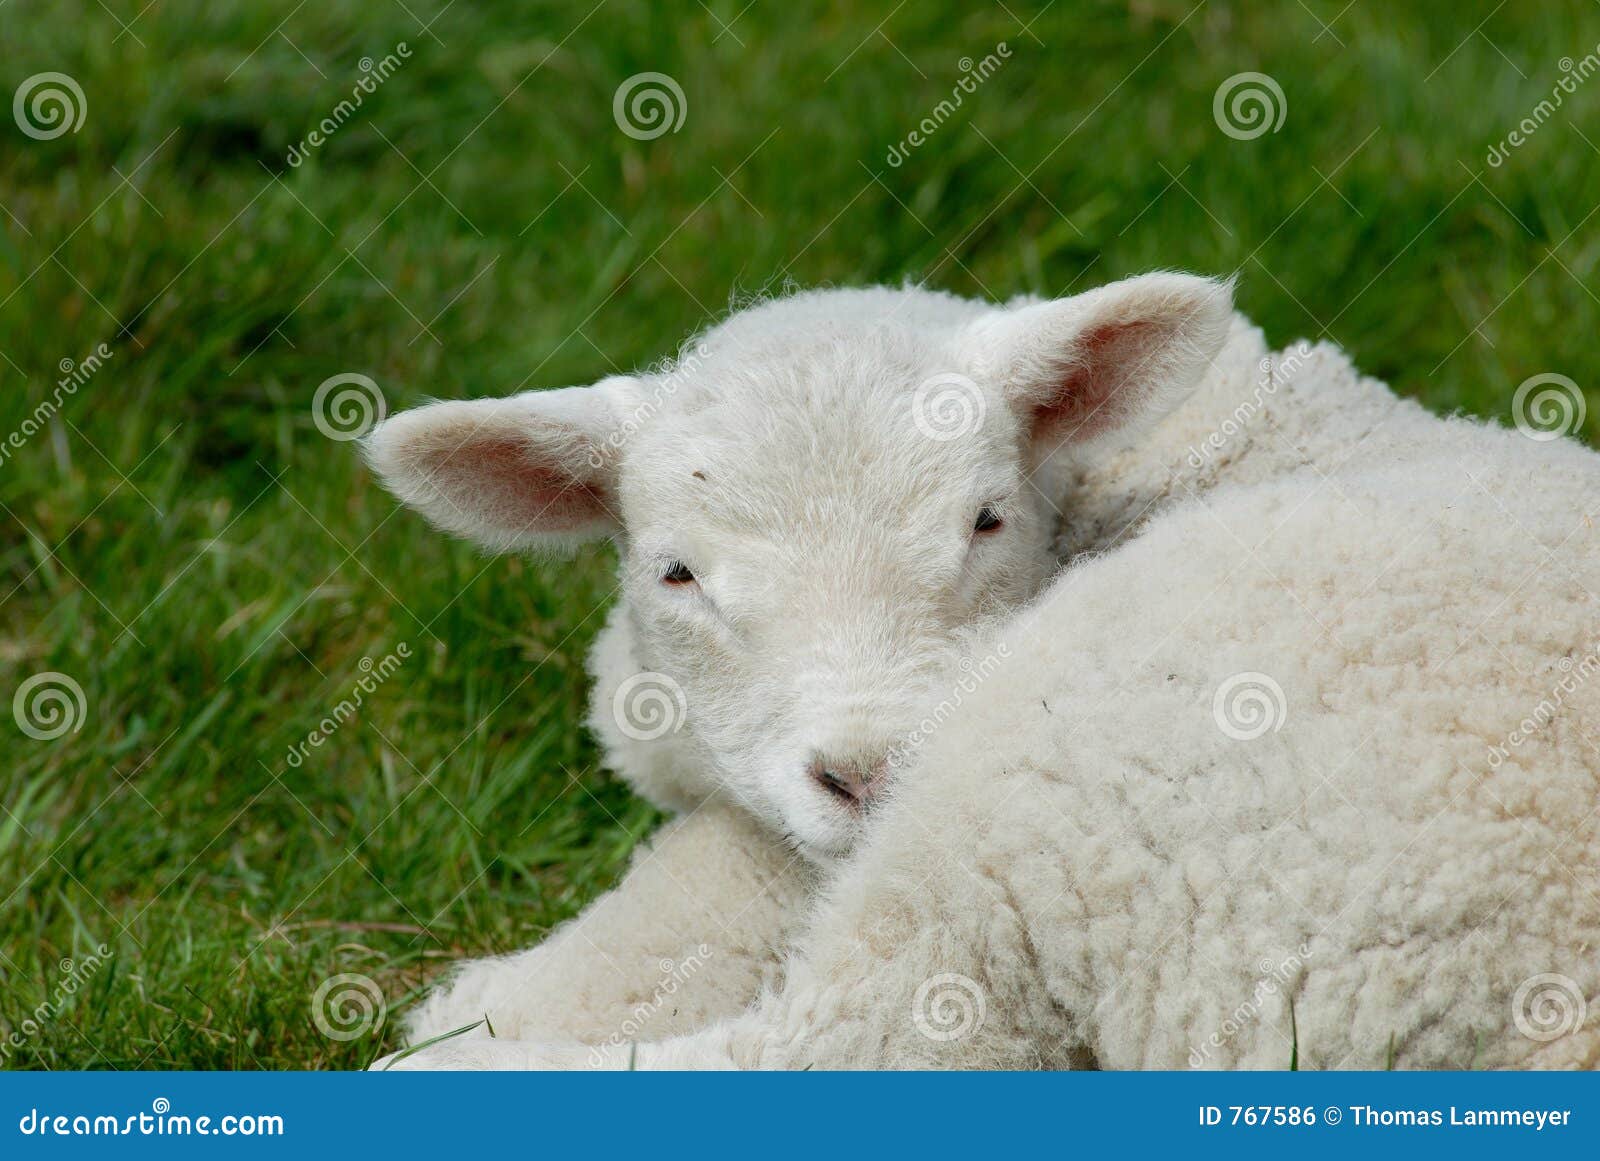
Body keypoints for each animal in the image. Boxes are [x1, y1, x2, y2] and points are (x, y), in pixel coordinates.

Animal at [366, 273, 1600, 1068]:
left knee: (850, 1039)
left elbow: (708, 886)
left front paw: (499, 1003)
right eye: (677, 574)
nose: (868, 774)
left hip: (1055, 800)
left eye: (986, 520)